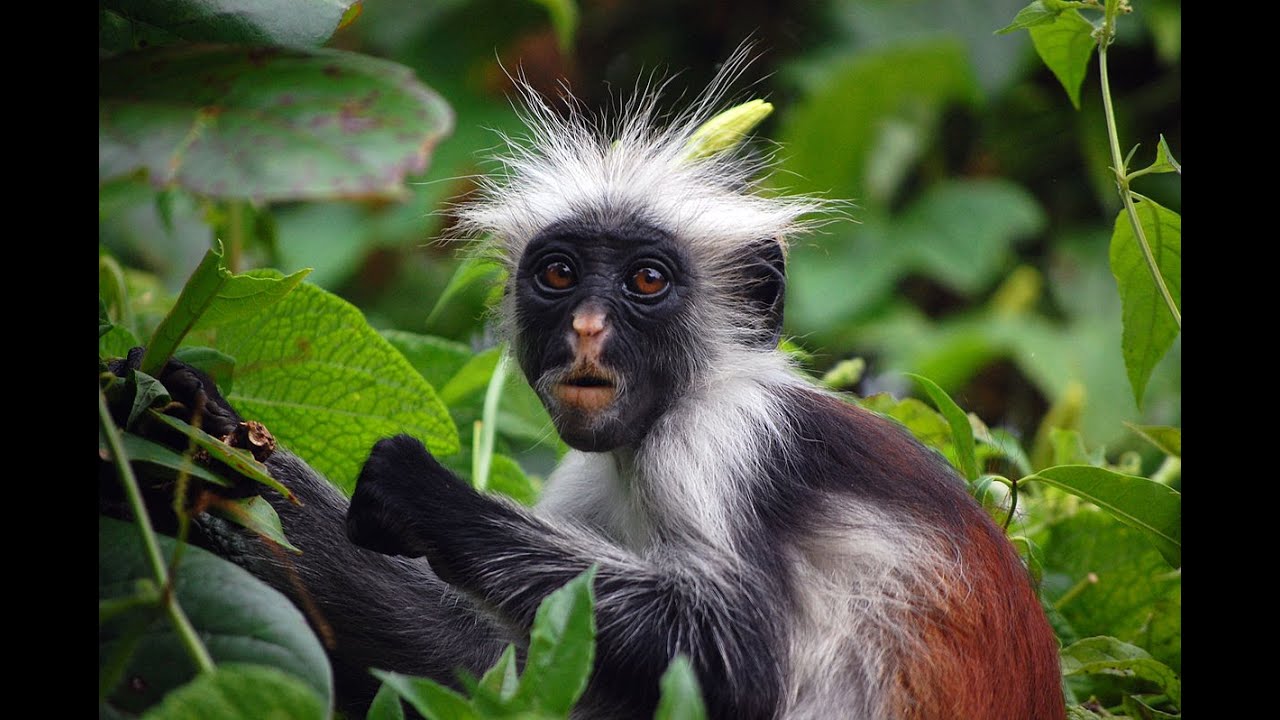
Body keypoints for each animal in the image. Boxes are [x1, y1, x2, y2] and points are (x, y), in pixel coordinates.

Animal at [112, 57, 1065, 720]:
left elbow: (739, 656)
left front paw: (422, 494)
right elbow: (481, 662)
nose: (587, 330)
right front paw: (182, 435)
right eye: (560, 275)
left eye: (646, 281)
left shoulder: (726, 437)